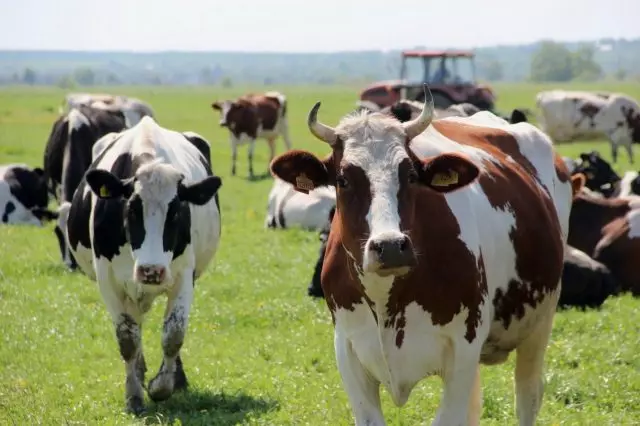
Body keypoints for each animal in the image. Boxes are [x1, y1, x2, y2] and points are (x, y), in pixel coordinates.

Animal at [63, 115, 222, 412]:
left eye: (177, 213)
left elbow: (173, 334)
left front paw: (162, 386)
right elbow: (127, 339)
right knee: (135, 326)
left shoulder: (184, 276)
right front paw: (134, 395)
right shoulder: (109, 281)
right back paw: (138, 370)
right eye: (132, 209)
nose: (151, 270)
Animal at [268, 87, 572, 426]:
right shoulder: (347, 349)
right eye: (342, 180)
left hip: (541, 320)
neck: (386, 302)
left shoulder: (463, 349)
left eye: (411, 176)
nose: (389, 246)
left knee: (528, 395)